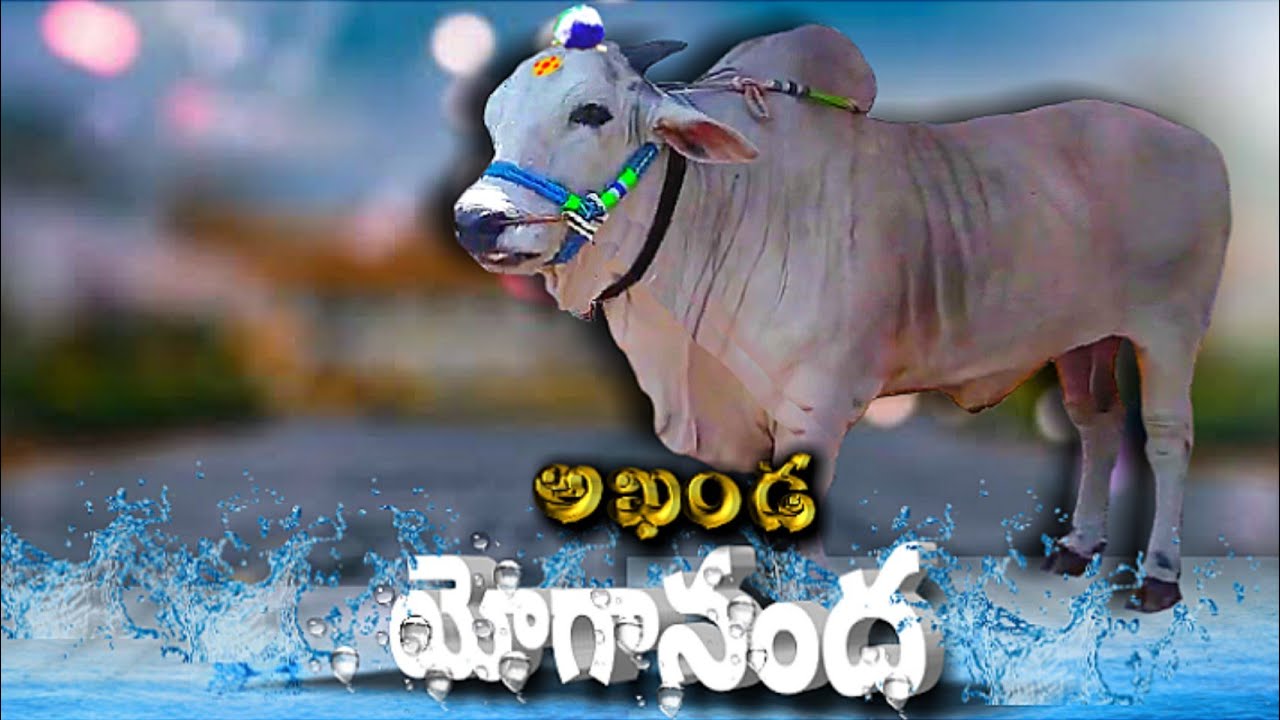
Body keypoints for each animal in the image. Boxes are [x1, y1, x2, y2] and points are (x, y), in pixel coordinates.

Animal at [452, 24, 1231, 612]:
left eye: (592, 112)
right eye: (492, 119)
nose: (476, 222)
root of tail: (1198, 143)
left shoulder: (813, 411)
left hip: (1169, 329)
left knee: (1167, 439)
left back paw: (1159, 576)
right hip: (1082, 339)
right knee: (1097, 426)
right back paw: (1076, 548)